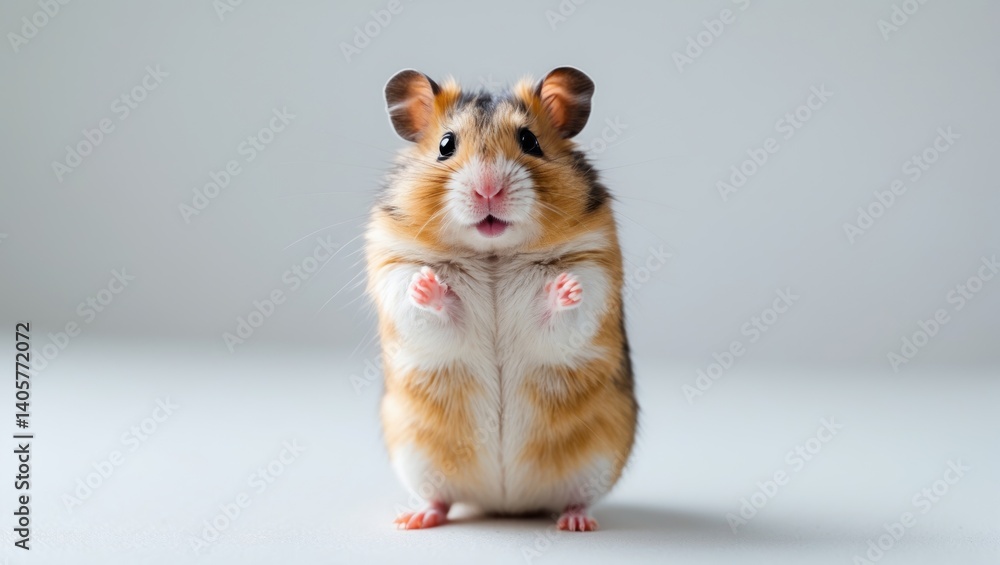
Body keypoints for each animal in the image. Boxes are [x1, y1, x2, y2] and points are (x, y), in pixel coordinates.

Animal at [365, 67, 637, 532]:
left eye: (530, 141)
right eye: (446, 145)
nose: (488, 190)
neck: (493, 253)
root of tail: (506, 504)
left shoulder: (595, 268)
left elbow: (565, 309)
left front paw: (565, 287)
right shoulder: (394, 269)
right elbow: (428, 306)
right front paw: (427, 286)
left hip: (600, 459)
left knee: (578, 499)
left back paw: (576, 523)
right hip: (417, 458)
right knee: (440, 497)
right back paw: (415, 519)